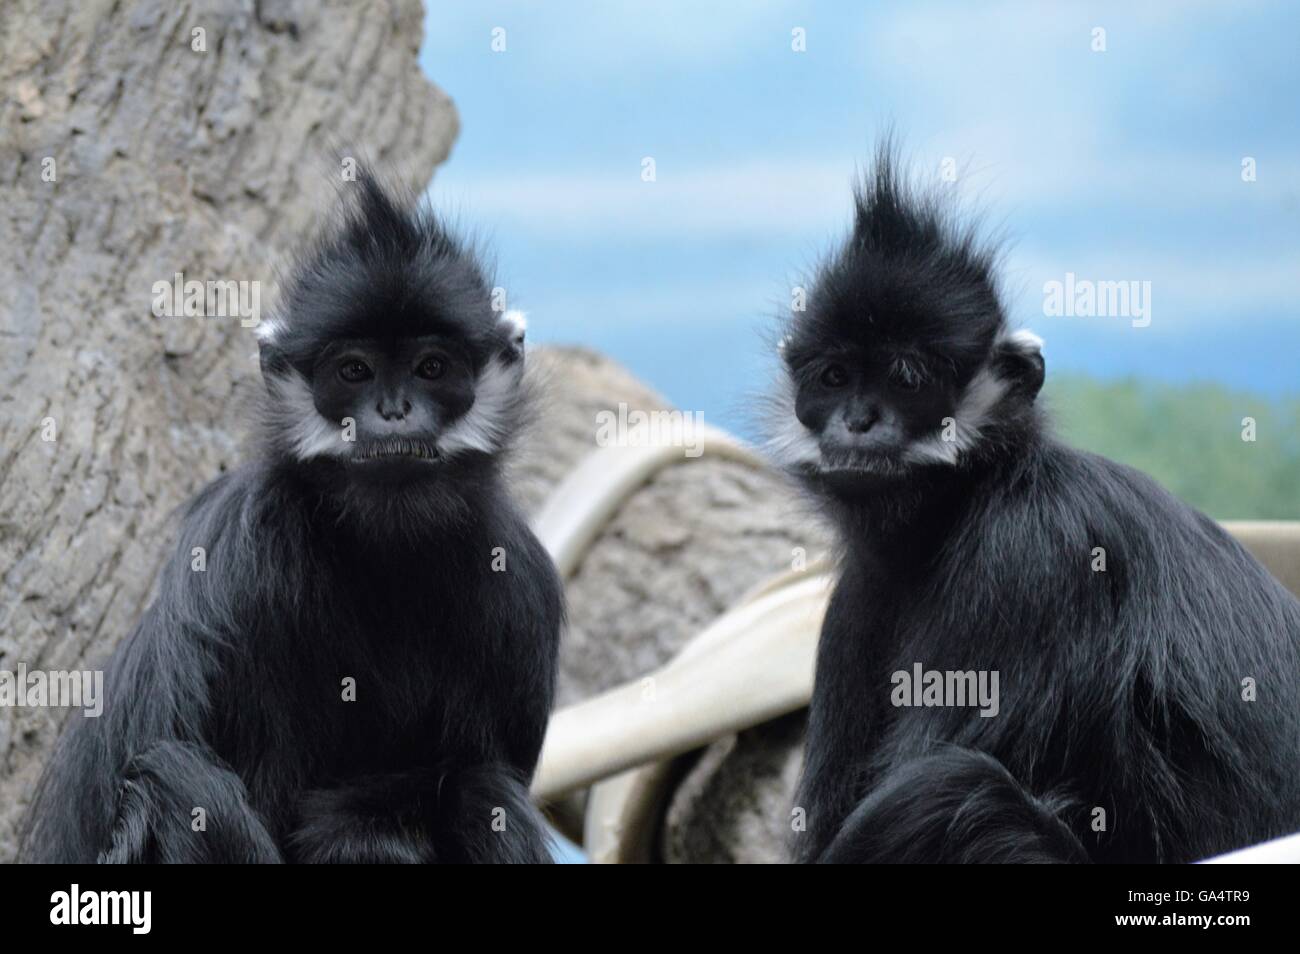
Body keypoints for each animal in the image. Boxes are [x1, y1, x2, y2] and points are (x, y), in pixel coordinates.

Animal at [21, 173, 564, 864]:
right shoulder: (238, 543)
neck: (382, 549)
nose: (393, 409)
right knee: (174, 779)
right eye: (354, 370)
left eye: (431, 369)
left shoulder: (520, 579)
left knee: (483, 790)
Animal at [767, 145, 1300, 864]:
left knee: (941, 788)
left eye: (907, 379)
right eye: (834, 378)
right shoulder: (860, 595)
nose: (857, 420)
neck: (967, 505)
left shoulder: (1036, 552)